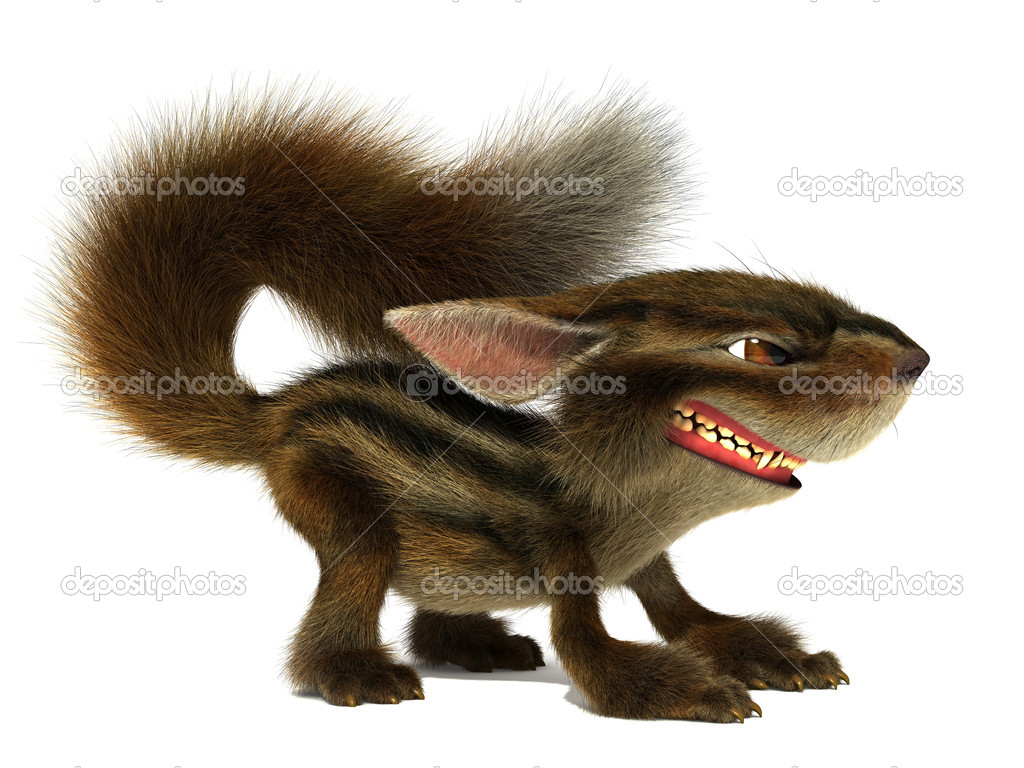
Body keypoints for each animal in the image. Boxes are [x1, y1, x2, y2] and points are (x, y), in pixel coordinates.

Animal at [46, 85, 929, 722]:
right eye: (761, 351)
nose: (918, 361)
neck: (613, 502)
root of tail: (277, 409)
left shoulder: (651, 563)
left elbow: (694, 619)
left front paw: (784, 660)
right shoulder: (568, 558)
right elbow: (596, 660)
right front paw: (702, 693)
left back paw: (478, 646)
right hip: (330, 498)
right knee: (352, 582)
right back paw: (360, 674)